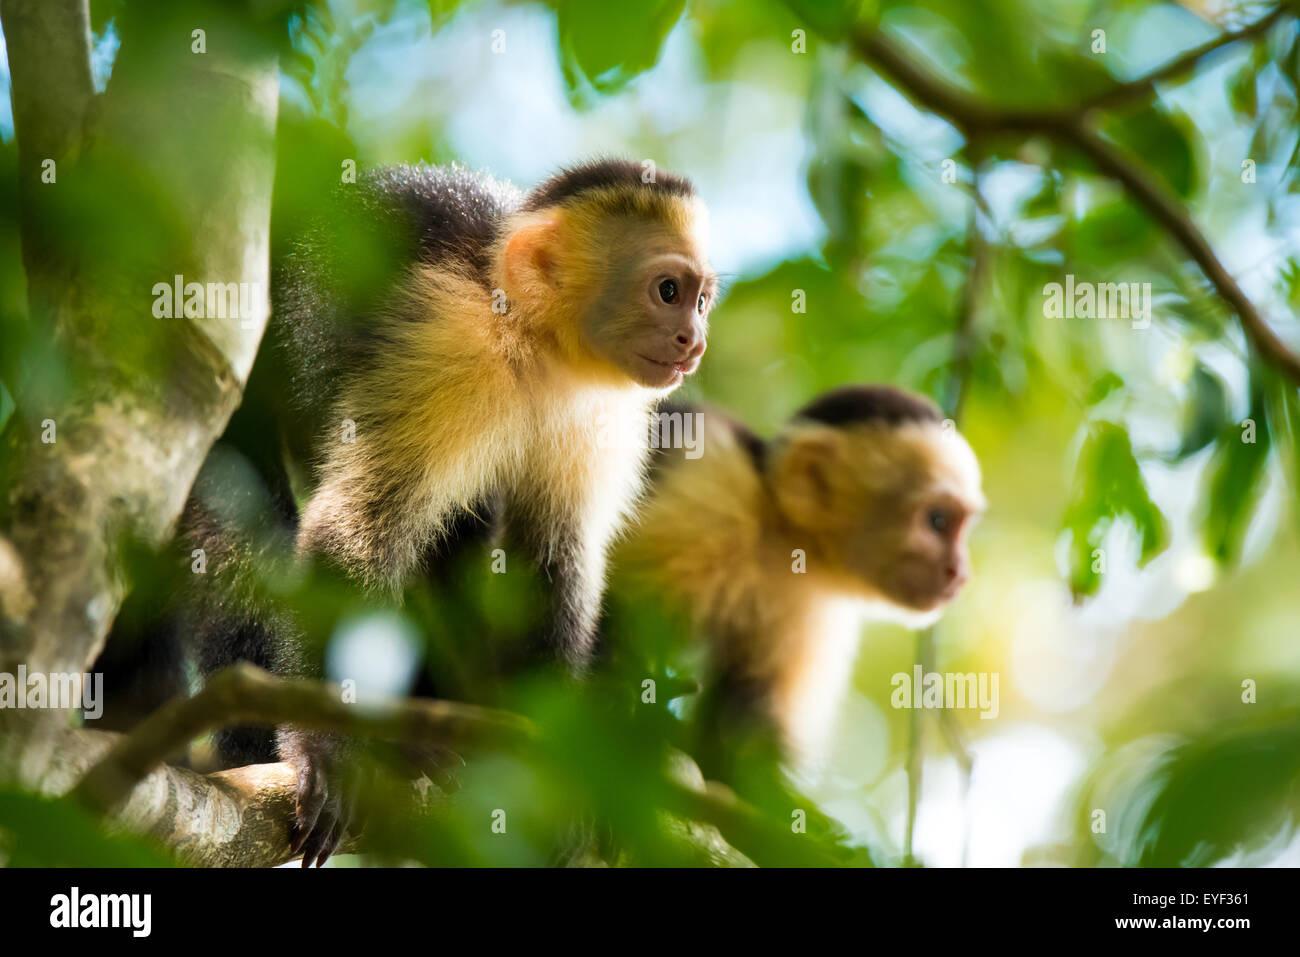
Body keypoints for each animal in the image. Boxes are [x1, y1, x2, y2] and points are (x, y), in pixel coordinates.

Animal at [97, 159, 717, 866]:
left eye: (701, 299)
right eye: (667, 290)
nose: (694, 341)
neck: (534, 342)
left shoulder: (599, 414)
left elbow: (555, 561)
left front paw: (557, 766)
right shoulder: (448, 344)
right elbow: (355, 531)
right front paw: (325, 752)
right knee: (243, 527)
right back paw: (253, 746)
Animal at [609, 385, 984, 823]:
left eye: (962, 526)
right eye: (937, 521)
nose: (960, 573)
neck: (777, 532)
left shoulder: (810, 598)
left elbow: (750, 728)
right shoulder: (707, 482)